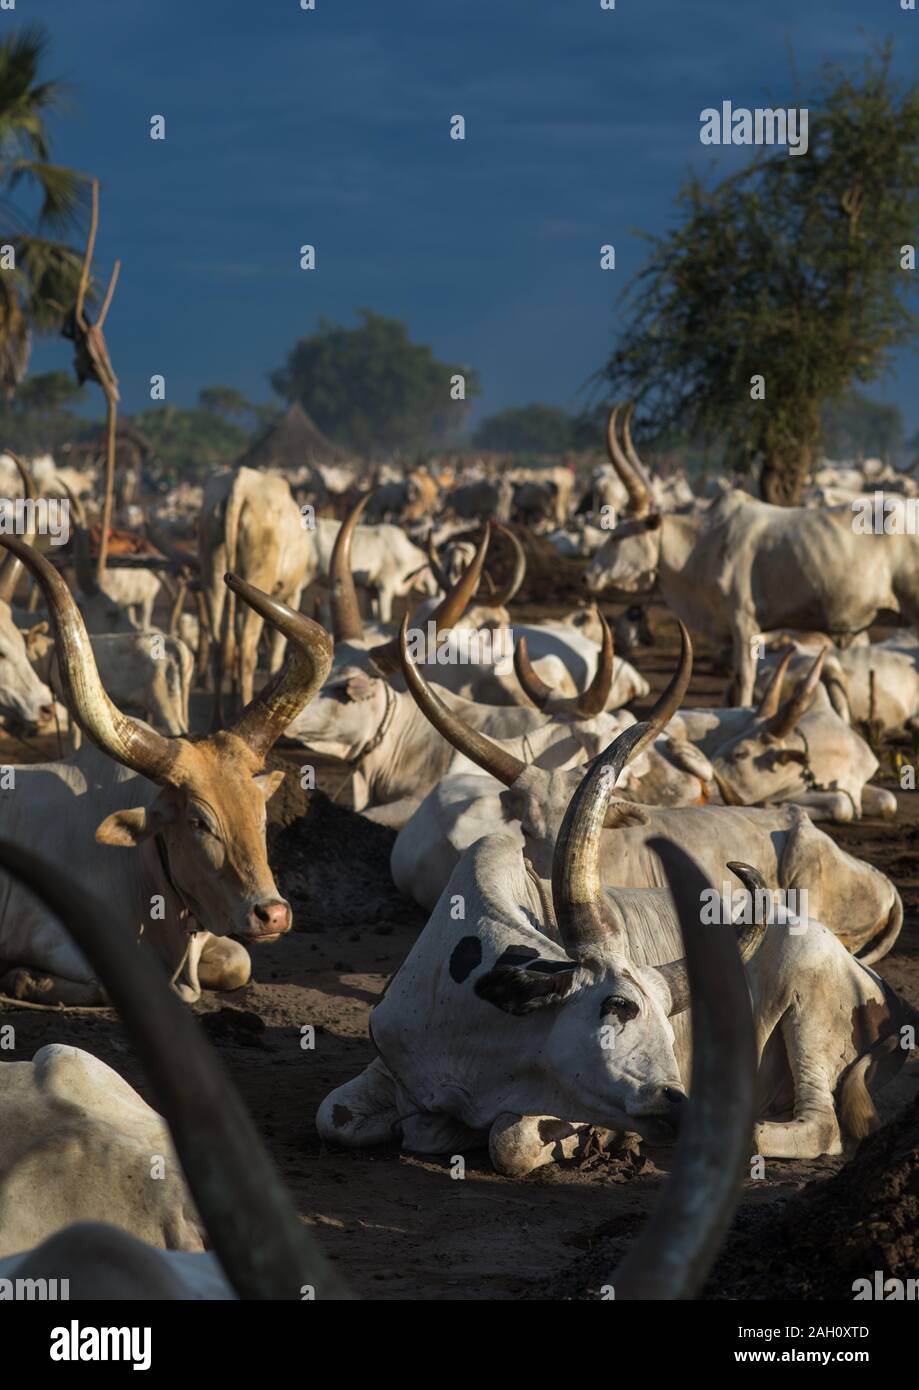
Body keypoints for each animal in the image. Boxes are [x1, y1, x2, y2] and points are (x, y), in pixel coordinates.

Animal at [322, 724, 916, 1173]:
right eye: (618, 1005)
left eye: (668, 1026)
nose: (677, 1102)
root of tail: (885, 992)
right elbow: (334, 1116)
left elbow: (509, 1142)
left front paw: (595, 1142)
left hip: (807, 1006)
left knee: (819, 1125)